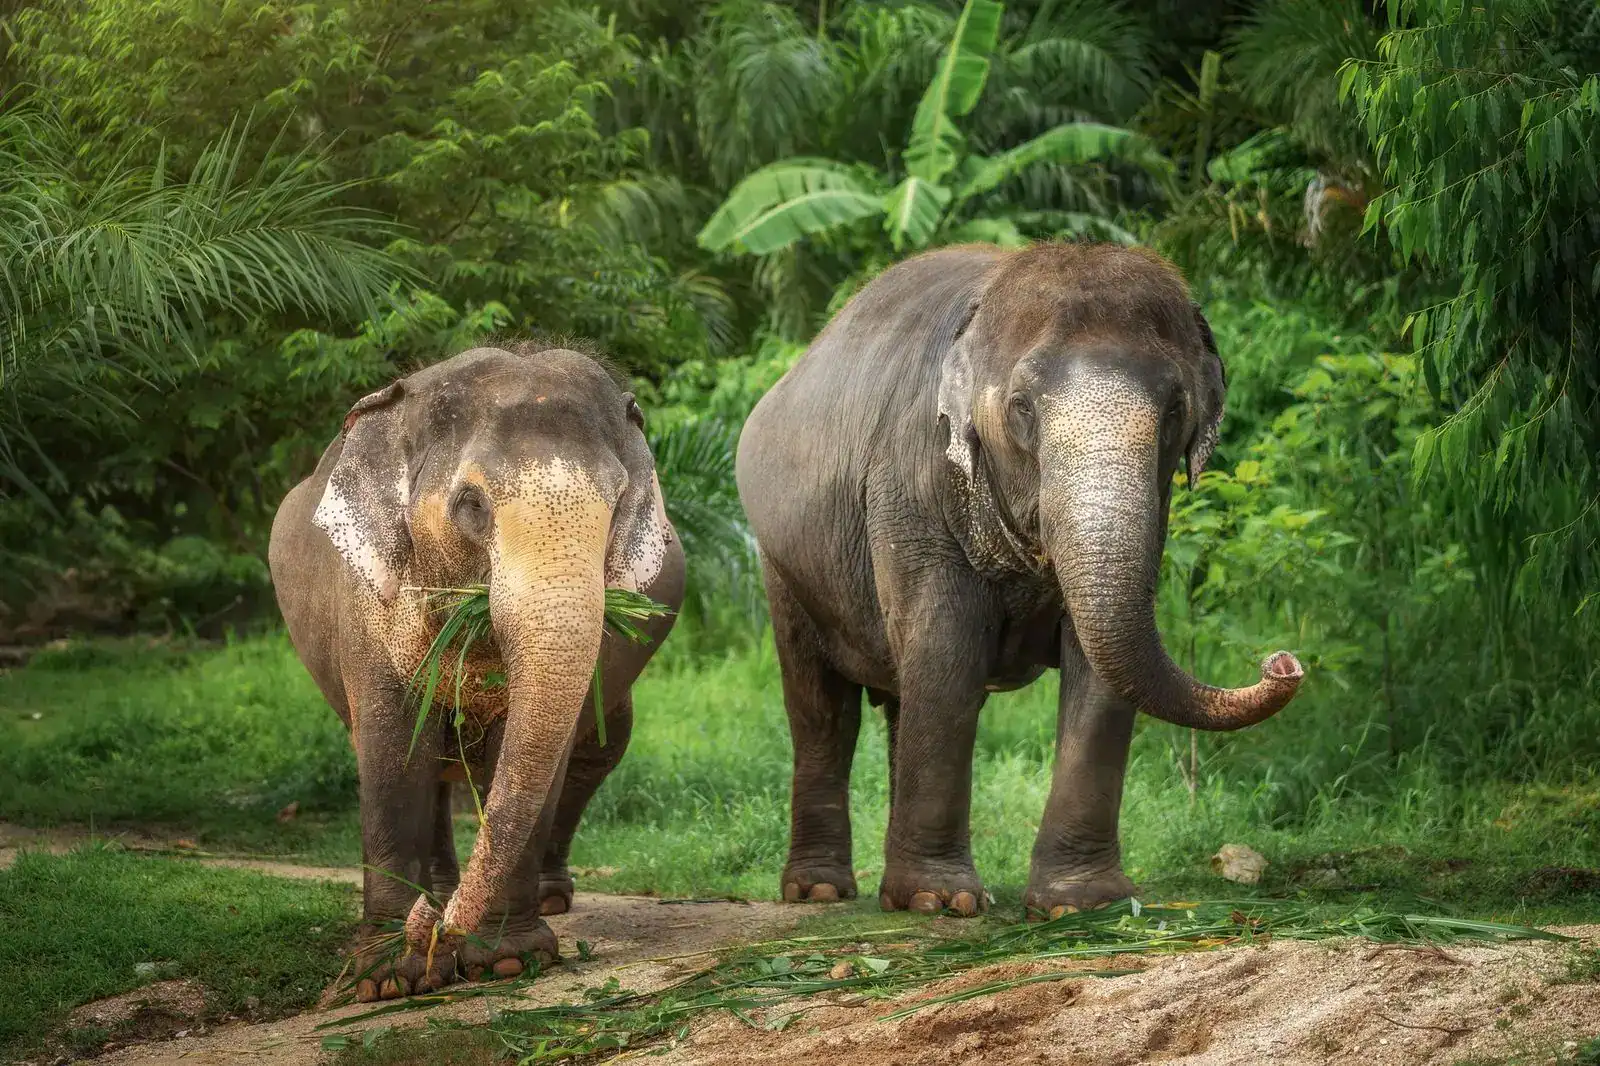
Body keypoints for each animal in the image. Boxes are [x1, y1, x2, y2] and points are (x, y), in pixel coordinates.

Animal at [269, 343, 683, 1000]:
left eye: (617, 505)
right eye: (472, 505)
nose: (434, 934)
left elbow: (530, 752)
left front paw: (506, 962)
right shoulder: (364, 603)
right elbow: (391, 750)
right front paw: (390, 977)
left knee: (599, 748)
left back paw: (519, 900)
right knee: (430, 763)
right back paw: (437, 903)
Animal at [735, 241, 1305, 919]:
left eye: (1174, 410)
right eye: (1021, 409)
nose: (1283, 663)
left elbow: (1098, 673)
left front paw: (1082, 904)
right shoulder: (908, 485)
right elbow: (948, 655)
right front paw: (941, 902)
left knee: (898, 699)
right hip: (782, 565)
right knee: (822, 712)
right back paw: (820, 891)